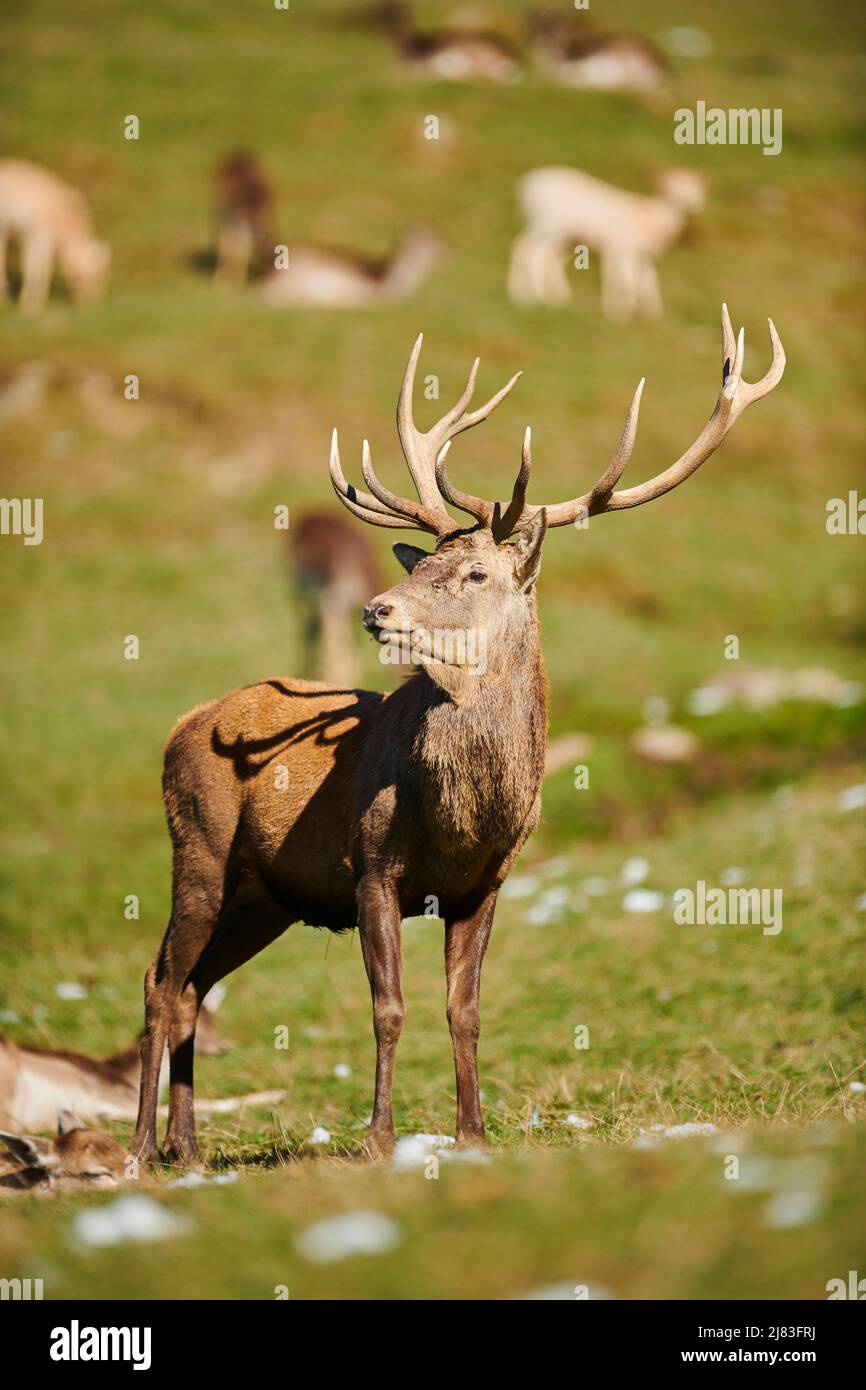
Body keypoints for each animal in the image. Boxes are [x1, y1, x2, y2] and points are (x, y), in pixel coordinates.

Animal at [0, 159, 110, 314]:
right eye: (85, 276)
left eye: (103, 276)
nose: (92, 303)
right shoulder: (38, 236)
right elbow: (36, 266)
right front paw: (30, 306)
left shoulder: (28, 237)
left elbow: (37, 265)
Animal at [508, 166, 706, 321]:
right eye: (671, 188)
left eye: (694, 189)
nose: (691, 205)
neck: (651, 217)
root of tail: (526, 185)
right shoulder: (624, 249)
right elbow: (627, 281)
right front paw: (622, 314)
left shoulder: (637, 254)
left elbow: (647, 280)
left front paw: (651, 314)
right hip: (549, 225)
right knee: (535, 253)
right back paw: (535, 296)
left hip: (559, 234)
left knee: (535, 252)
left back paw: (537, 296)